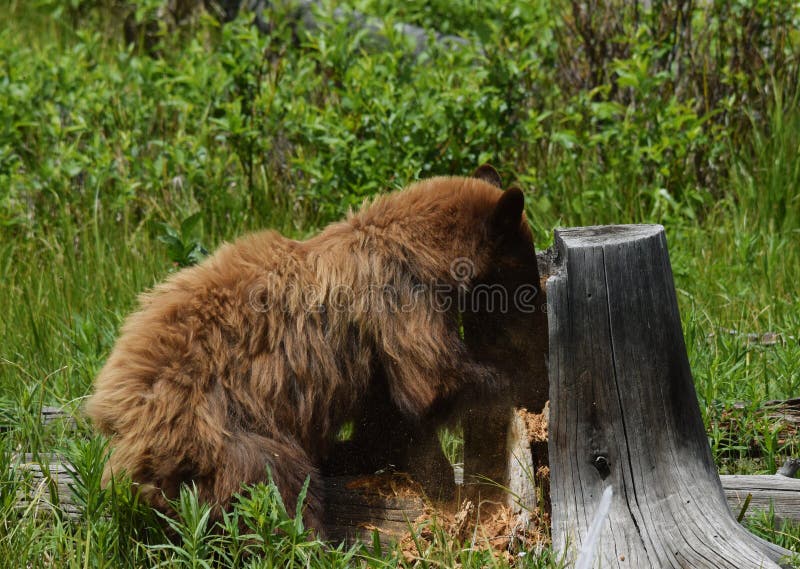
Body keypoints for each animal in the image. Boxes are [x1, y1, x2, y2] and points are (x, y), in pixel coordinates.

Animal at [85, 165, 541, 533]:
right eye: (528, 266)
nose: (535, 305)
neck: (426, 251)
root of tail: (118, 423)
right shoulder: (400, 297)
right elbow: (433, 382)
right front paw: (523, 385)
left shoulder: (374, 351)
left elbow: (392, 414)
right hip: (218, 431)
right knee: (279, 486)